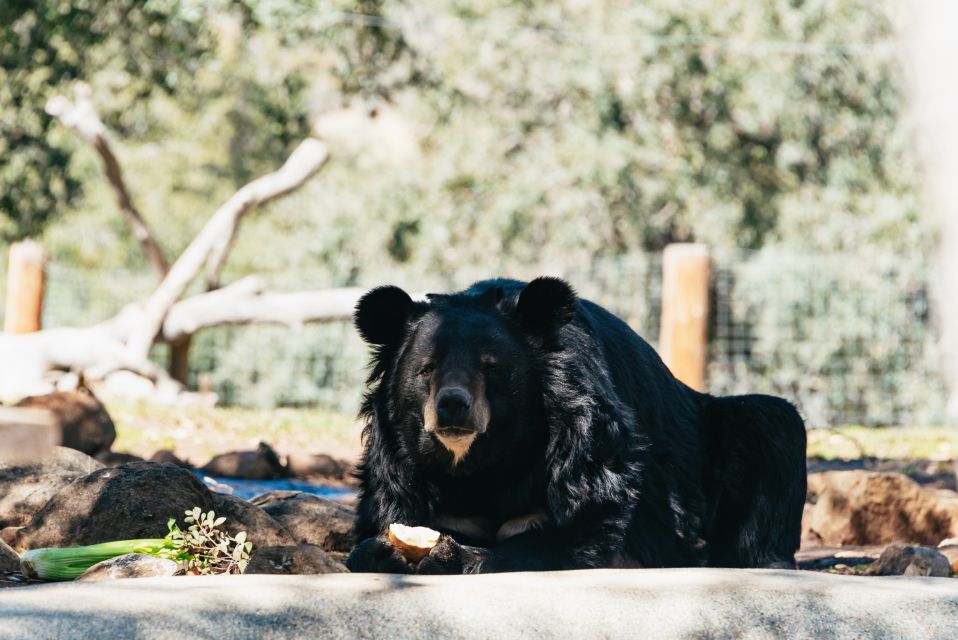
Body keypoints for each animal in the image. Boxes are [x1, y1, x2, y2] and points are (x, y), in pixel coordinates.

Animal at [346, 277, 807, 574]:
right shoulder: (401, 464)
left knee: (772, 425)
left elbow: (576, 525)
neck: (483, 463)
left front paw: (457, 556)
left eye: (491, 368)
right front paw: (381, 551)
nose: (453, 407)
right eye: (426, 368)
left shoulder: (586, 449)